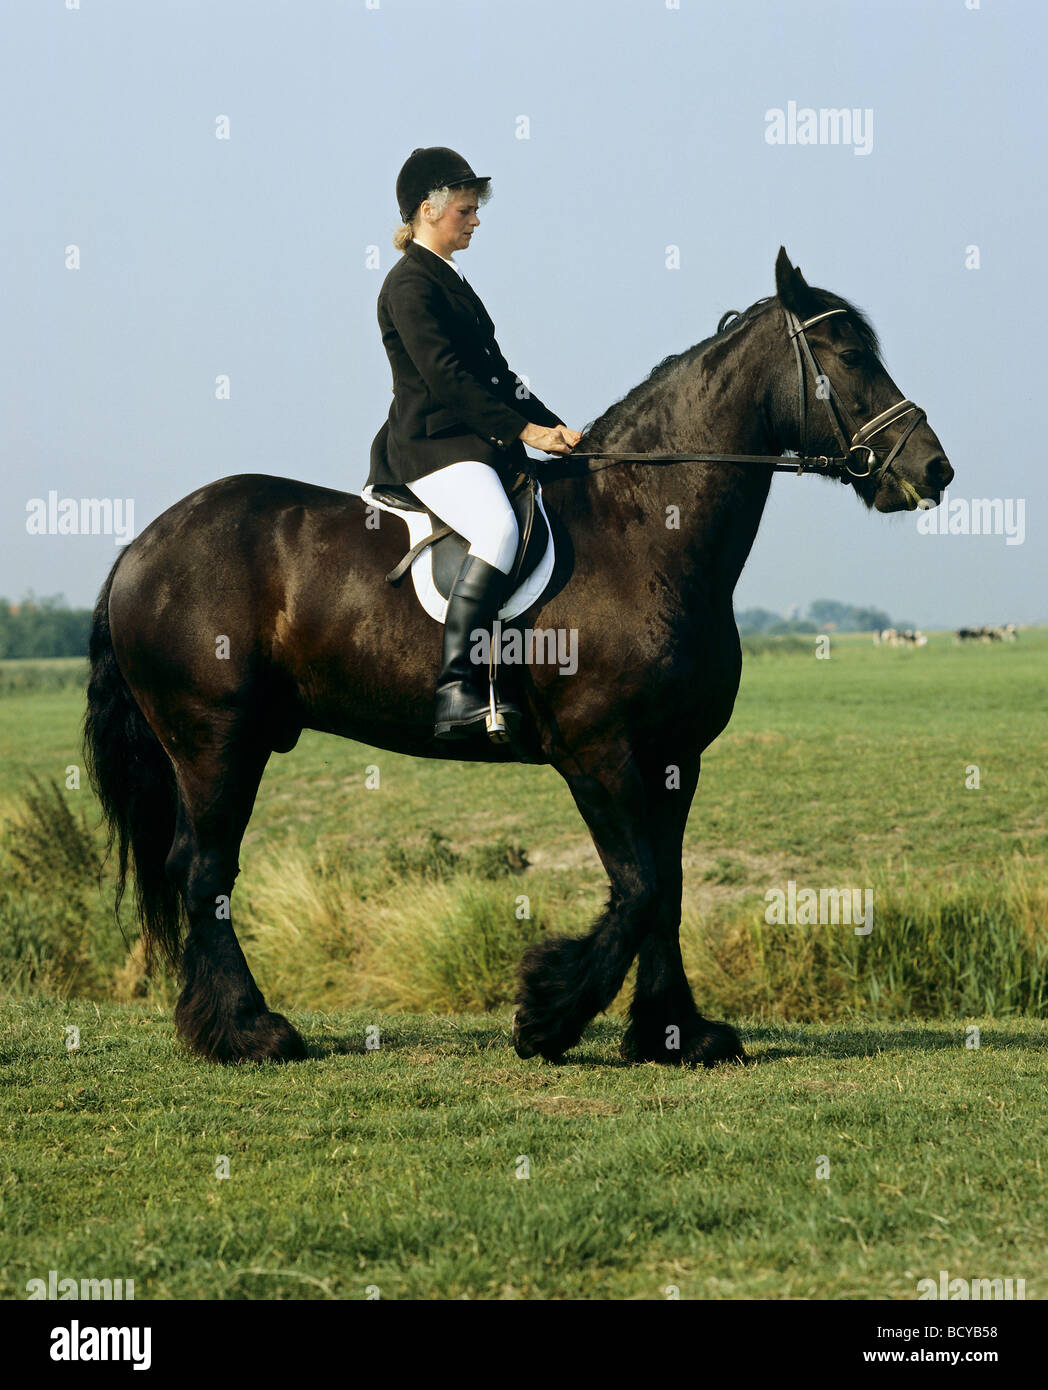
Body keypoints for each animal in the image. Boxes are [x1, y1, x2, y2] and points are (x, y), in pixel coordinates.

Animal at [83, 248, 953, 1066]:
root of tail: (144, 546)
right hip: (214, 738)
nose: (932, 470)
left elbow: (668, 889)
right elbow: (637, 887)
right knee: (203, 870)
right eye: (850, 356)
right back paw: (250, 1031)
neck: (645, 531)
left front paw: (674, 1034)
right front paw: (546, 1016)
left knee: (200, 869)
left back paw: (217, 1026)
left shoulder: (675, 755)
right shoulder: (597, 751)